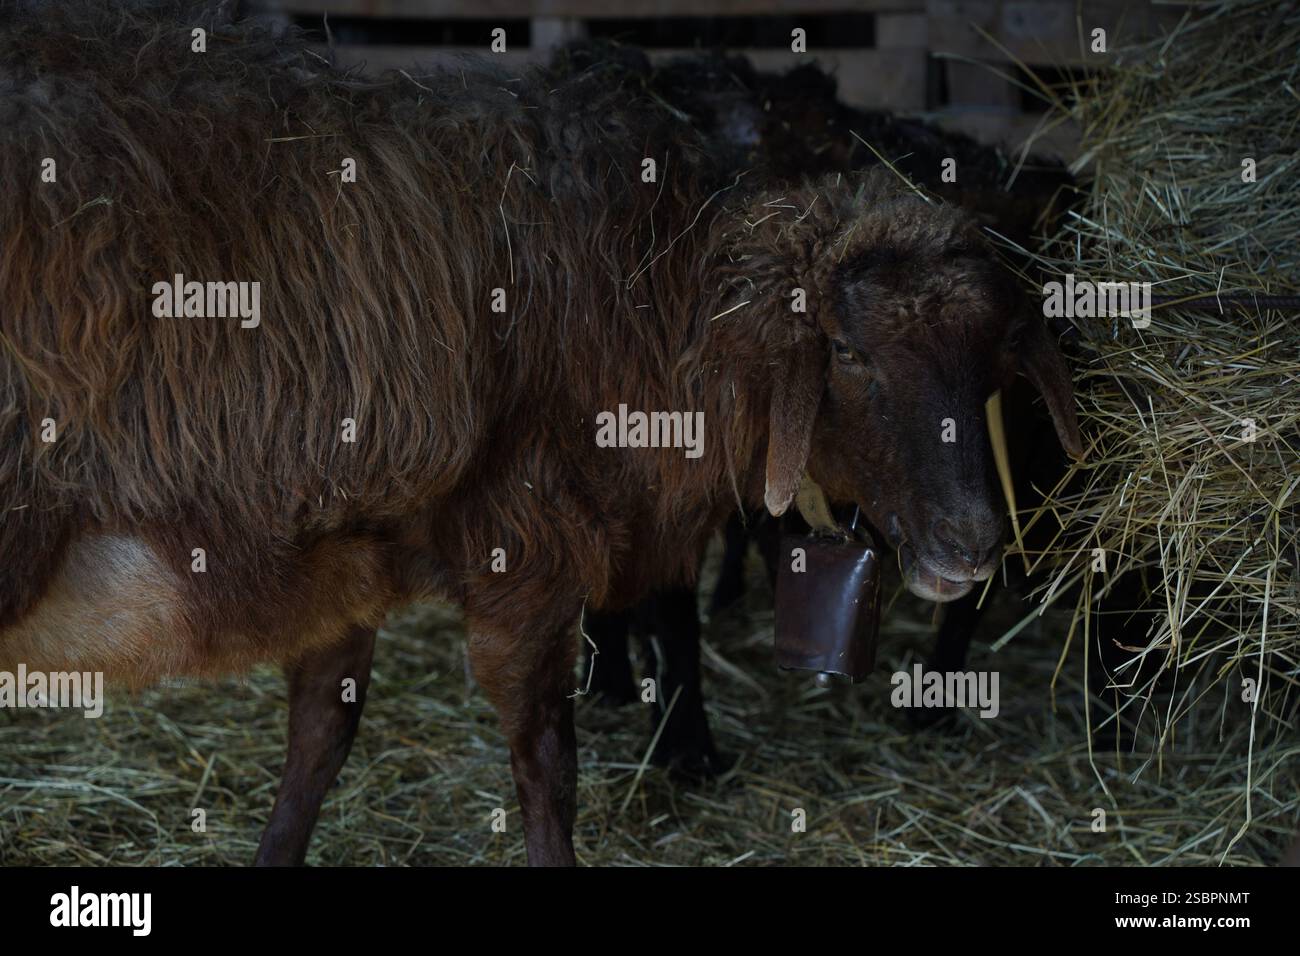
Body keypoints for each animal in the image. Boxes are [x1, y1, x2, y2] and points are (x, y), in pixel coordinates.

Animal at [0, 1, 1079, 865]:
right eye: (848, 353)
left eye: (989, 366)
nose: (972, 545)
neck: (653, 286)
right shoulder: (529, 539)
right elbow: (547, 760)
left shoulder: (344, 549)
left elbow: (316, 745)